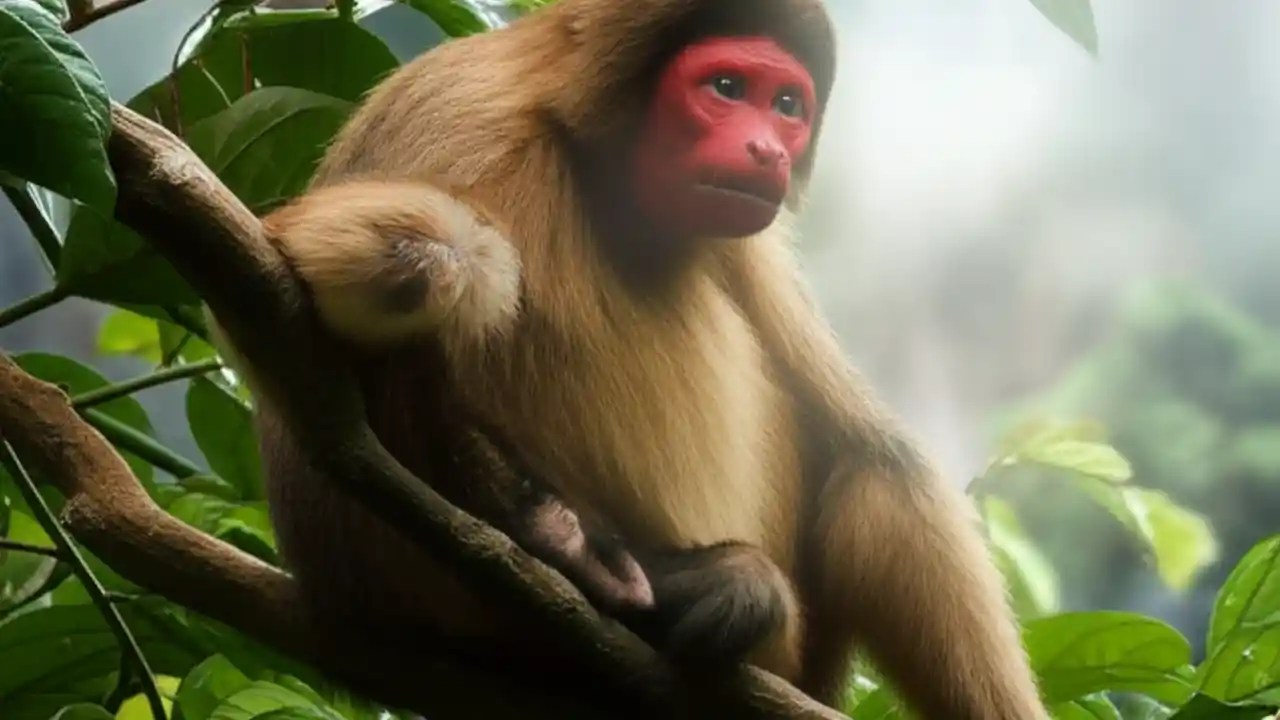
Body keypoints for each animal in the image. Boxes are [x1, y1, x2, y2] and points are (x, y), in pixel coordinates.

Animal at [208, 0, 1052, 717]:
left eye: (786, 105)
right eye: (726, 88)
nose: (766, 149)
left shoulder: (741, 231)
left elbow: (870, 456)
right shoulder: (464, 117)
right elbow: (310, 293)